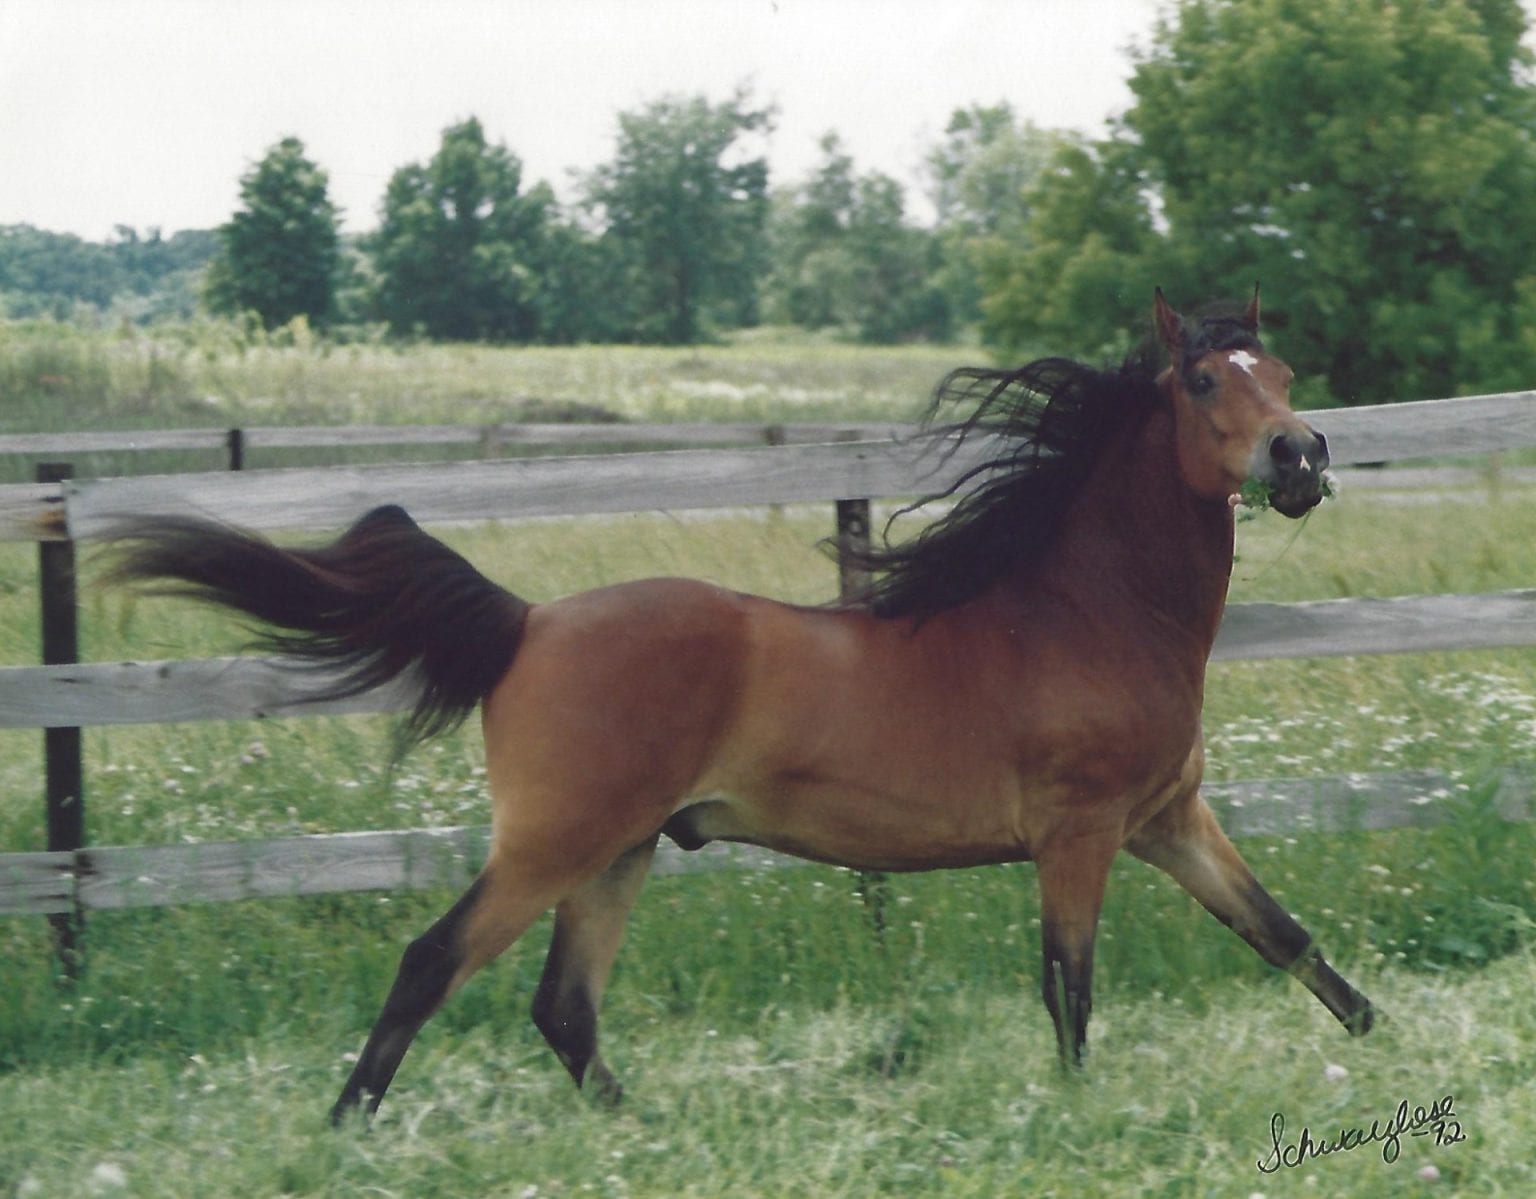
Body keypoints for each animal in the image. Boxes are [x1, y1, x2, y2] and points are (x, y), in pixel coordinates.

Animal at [103, 288, 1376, 1126]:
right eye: (1208, 381)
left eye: (1284, 376)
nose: (1303, 455)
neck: (1086, 612)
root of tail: (529, 624)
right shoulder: (1080, 833)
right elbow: (1069, 985)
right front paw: (1074, 1111)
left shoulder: (1169, 820)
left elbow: (1286, 935)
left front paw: (1386, 1046)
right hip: (554, 843)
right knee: (434, 960)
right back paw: (347, 1127)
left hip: (615, 852)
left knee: (564, 1008)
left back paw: (638, 1123)